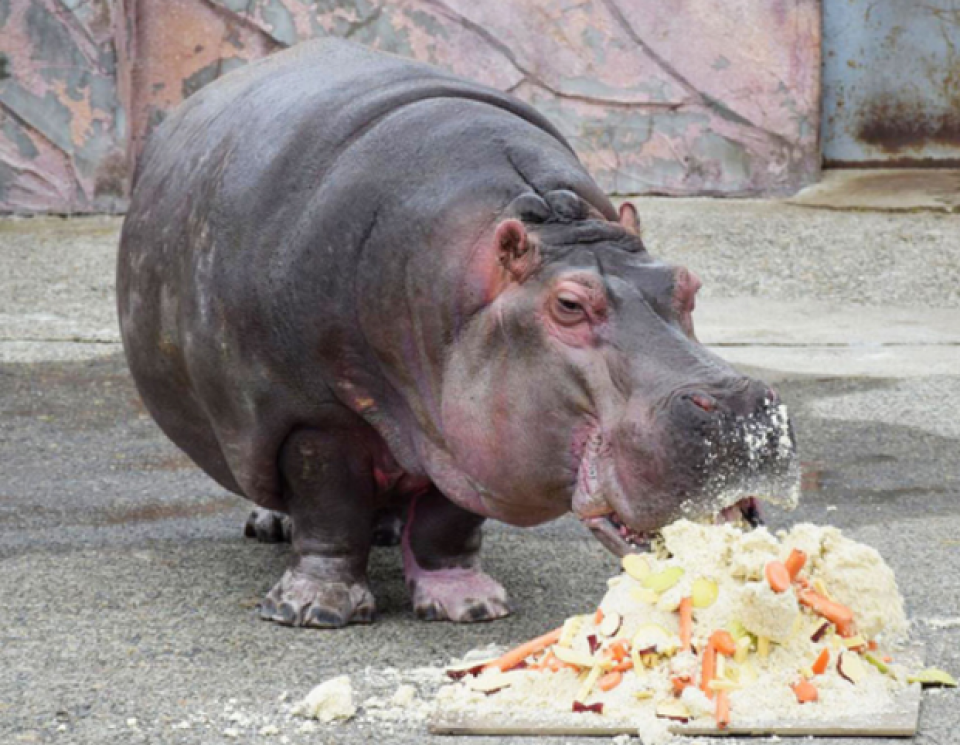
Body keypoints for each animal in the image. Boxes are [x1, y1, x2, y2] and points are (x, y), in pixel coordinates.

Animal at [117, 39, 799, 629]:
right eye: (569, 304)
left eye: (686, 282)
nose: (742, 406)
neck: (546, 223)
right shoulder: (311, 417)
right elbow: (329, 505)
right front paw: (313, 610)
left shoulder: (465, 435)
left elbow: (450, 518)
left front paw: (468, 605)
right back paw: (273, 527)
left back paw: (389, 529)